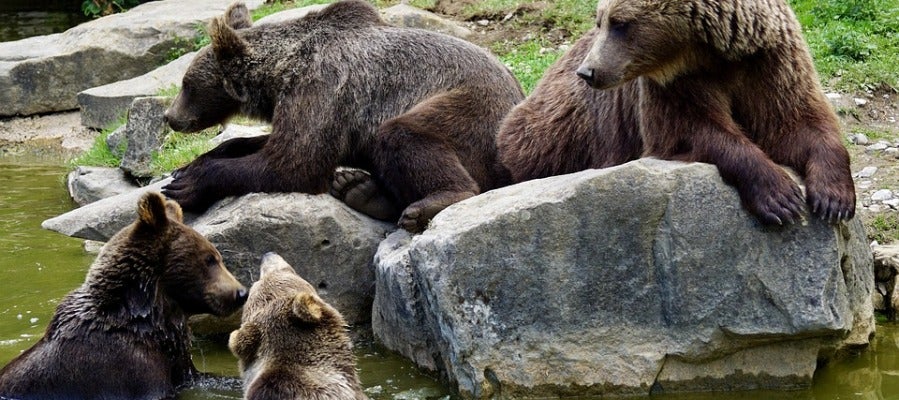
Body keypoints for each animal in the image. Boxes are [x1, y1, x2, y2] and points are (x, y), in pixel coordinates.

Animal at [162, 0, 525, 233]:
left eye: (186, 85)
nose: (169, 116)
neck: (279, 75)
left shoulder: (323, 85)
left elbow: (292, 163)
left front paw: (187, 184)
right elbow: (268, 143)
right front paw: (191, 164)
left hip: (471, 111)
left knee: (404, 135)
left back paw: (430, 201)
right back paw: (359, 190)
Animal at [498, 0, 855, 225]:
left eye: (619, 23)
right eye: (601, 21)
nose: (588, 71)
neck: (710, 53)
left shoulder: (767, 59)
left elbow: (795, 122)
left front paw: (833, 199)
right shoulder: (675, 84)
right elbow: (693, 131)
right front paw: (780, 197)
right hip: (561, 132)